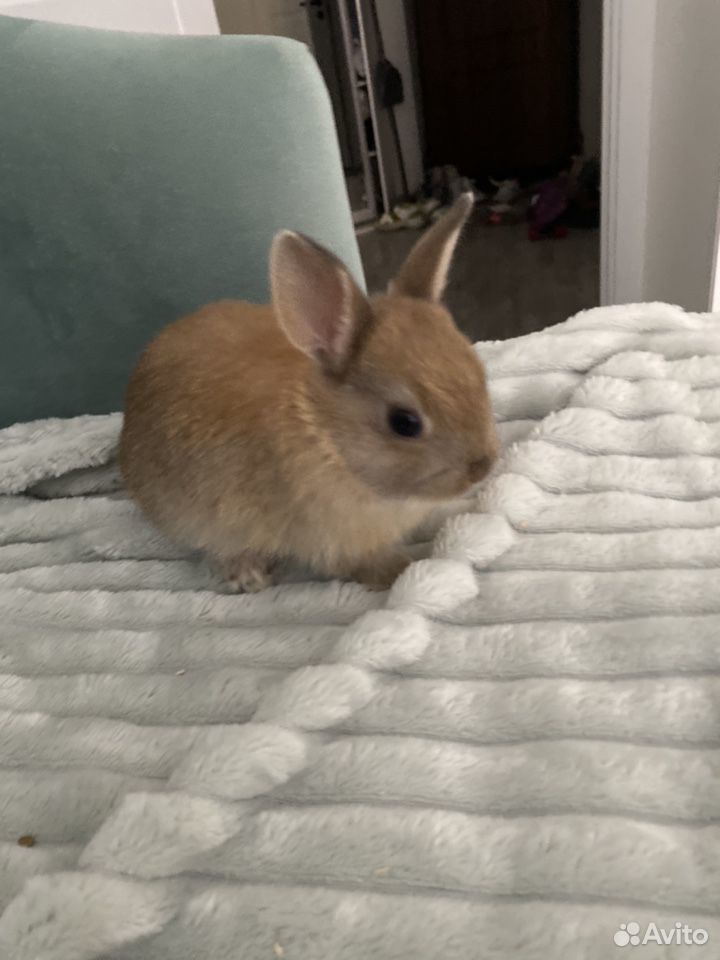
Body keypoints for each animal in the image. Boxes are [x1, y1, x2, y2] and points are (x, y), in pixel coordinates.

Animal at [119, 193, 498, 593]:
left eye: (480, 376)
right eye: (405, 423)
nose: (482, 468)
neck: (327, 436)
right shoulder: (331, 541)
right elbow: (364, 564)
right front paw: (403, 569)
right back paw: (248, 575)